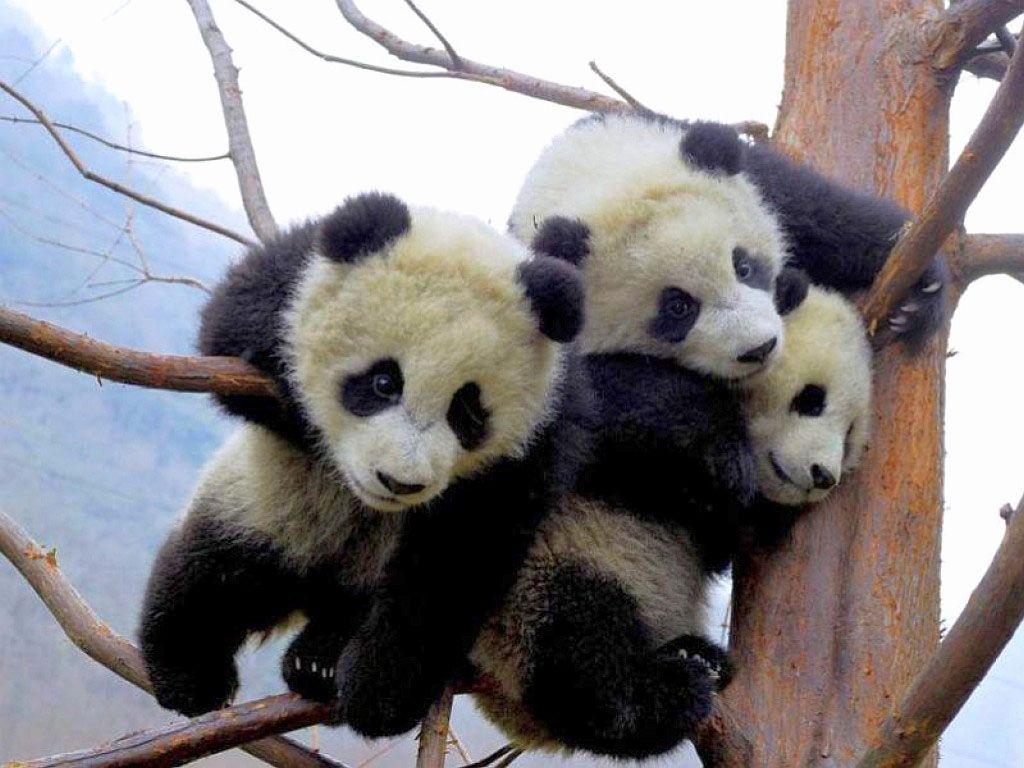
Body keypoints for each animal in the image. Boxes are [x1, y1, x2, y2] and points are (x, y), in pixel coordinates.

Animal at [137, 192, 592, 739]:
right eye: (383, 382)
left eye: (466, 411)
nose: (398, 482)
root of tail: (309, 591)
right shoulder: (288, 286)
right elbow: (228, 333)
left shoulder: (535, 441)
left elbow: (455, 563)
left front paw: (379, 693)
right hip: (259, 504)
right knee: (211, 571)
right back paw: (190, 671)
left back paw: (319, 660)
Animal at [468, 283, 873, 759]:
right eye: (811, 399)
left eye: (850, 436)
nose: (822, 475)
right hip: (539, 576)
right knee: (578, 638)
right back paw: (661, 694)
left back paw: (699, 657)